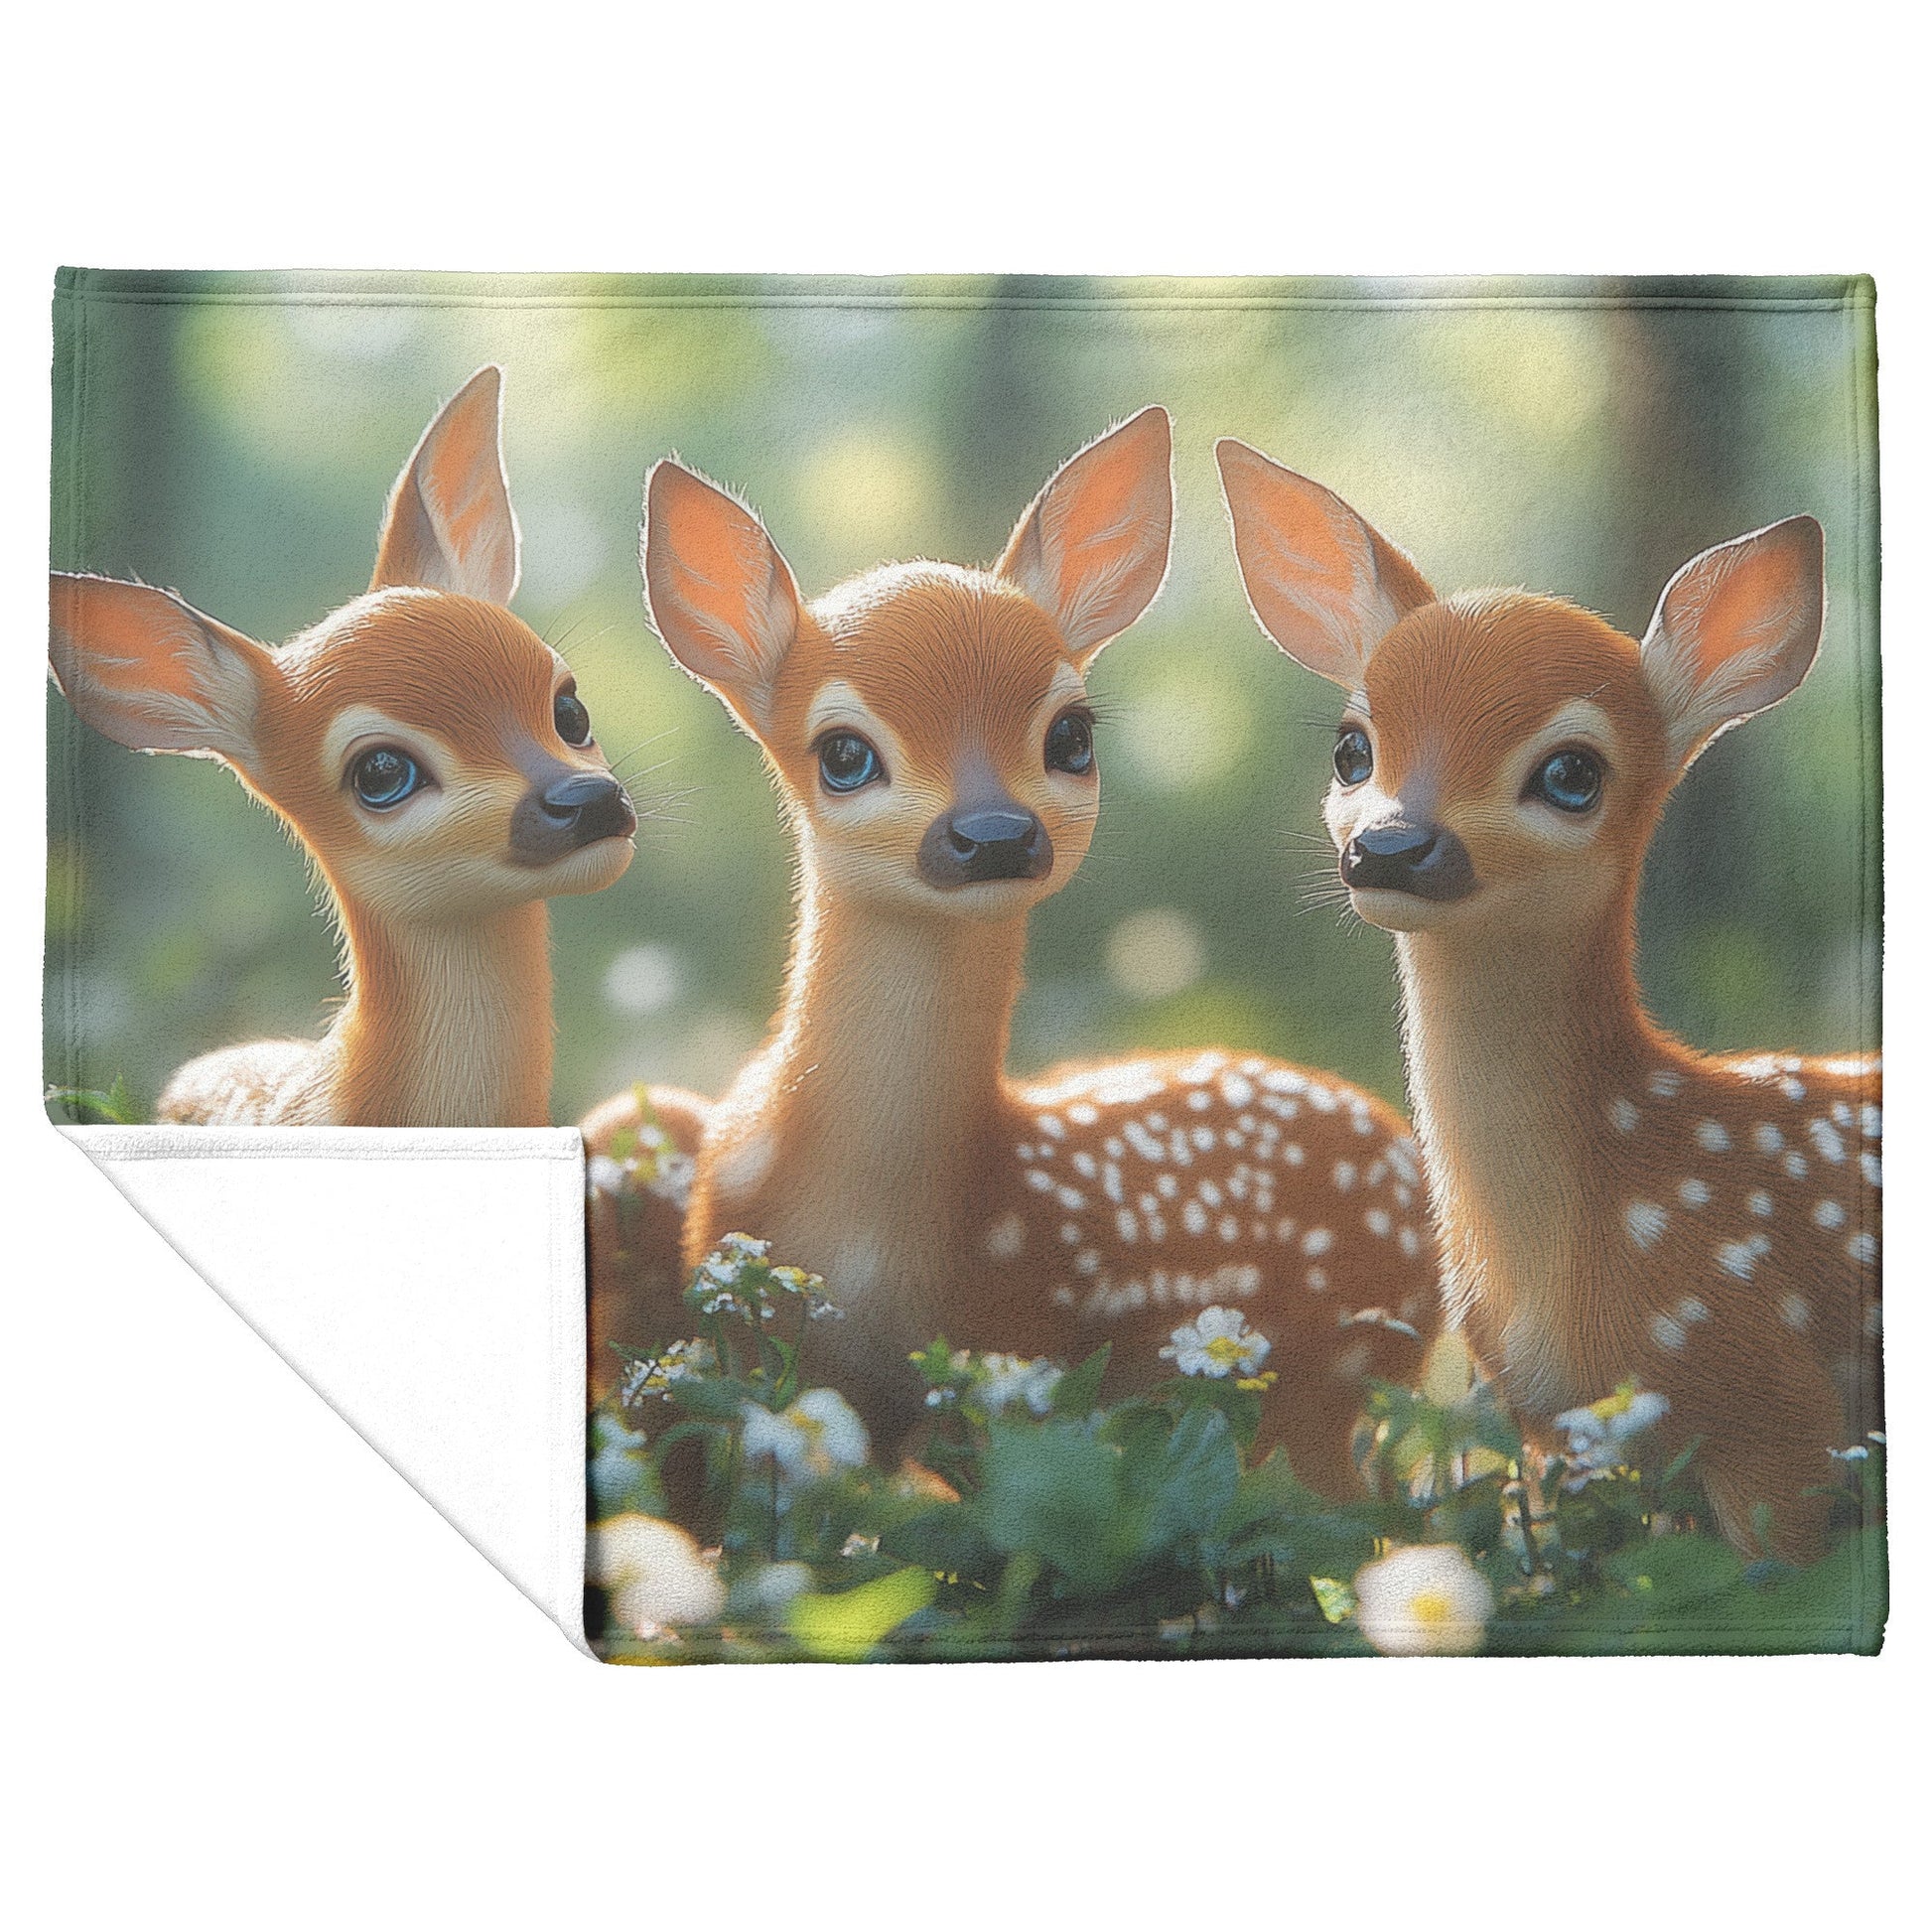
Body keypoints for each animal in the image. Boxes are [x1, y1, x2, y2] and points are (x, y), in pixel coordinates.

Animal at [583, 408, 1439, 1493]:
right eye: (842, 753)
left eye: (1070, 735)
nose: (992, 833)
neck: (884, 1231)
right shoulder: (763, 1354)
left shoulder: (1011, 1347)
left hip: (1327, 1381)